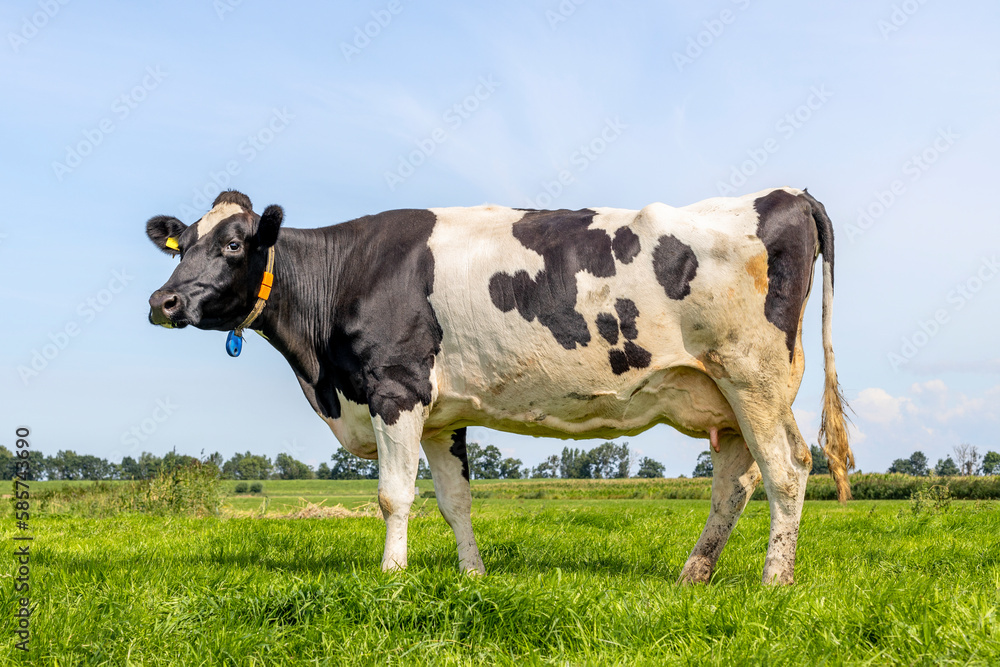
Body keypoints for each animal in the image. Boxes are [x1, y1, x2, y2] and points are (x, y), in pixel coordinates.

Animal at [146, 186, 853, 585]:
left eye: (233, 245)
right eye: (183, 244)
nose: (163, 301)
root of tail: (785, 193)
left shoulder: (396, 387)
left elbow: (393, 496)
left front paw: (390, 578)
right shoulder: (441, 415)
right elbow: (455, 501)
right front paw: (474, 575)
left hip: (754, 377)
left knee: (788, 468)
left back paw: (775, 580)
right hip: (722, 396)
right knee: (735, 480)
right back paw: (693, 575)